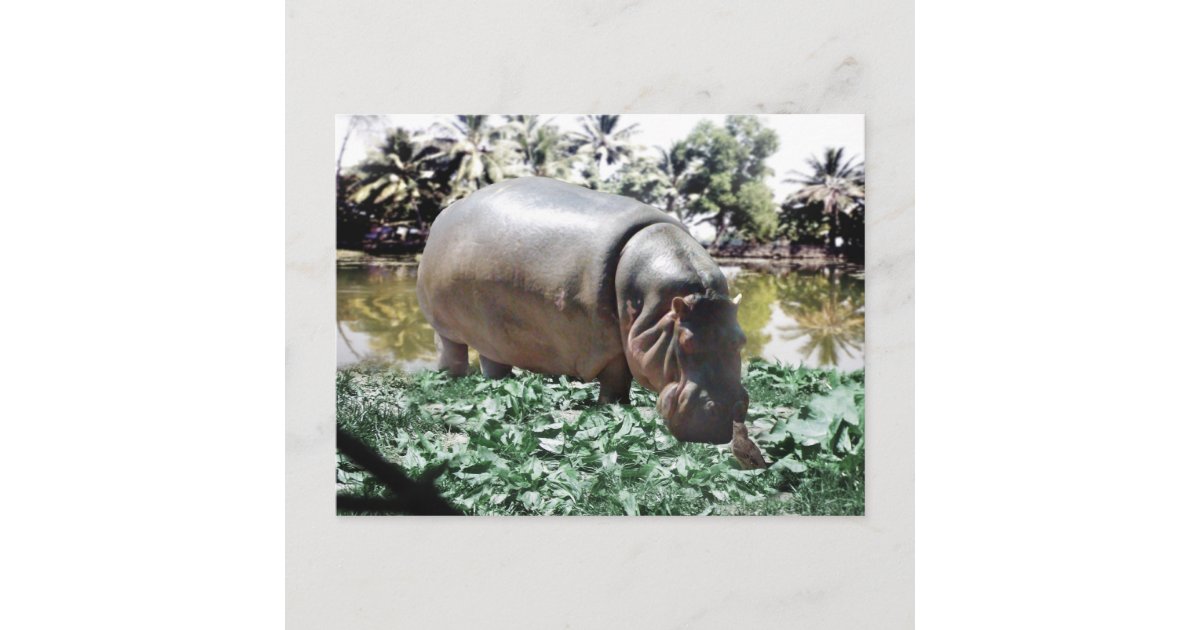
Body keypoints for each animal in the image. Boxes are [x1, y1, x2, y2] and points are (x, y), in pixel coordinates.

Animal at [417, 177, 763, 455]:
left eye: (741, 340)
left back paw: (500, 381)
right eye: (686, 341)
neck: (660, 309)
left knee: (493, 359)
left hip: (492, 332)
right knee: (451, 350)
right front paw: (614, 407)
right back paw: (451, 378)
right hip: (444, 325)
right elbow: (616, 380)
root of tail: (445, 213)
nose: (727, 410)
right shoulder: (609, 347)